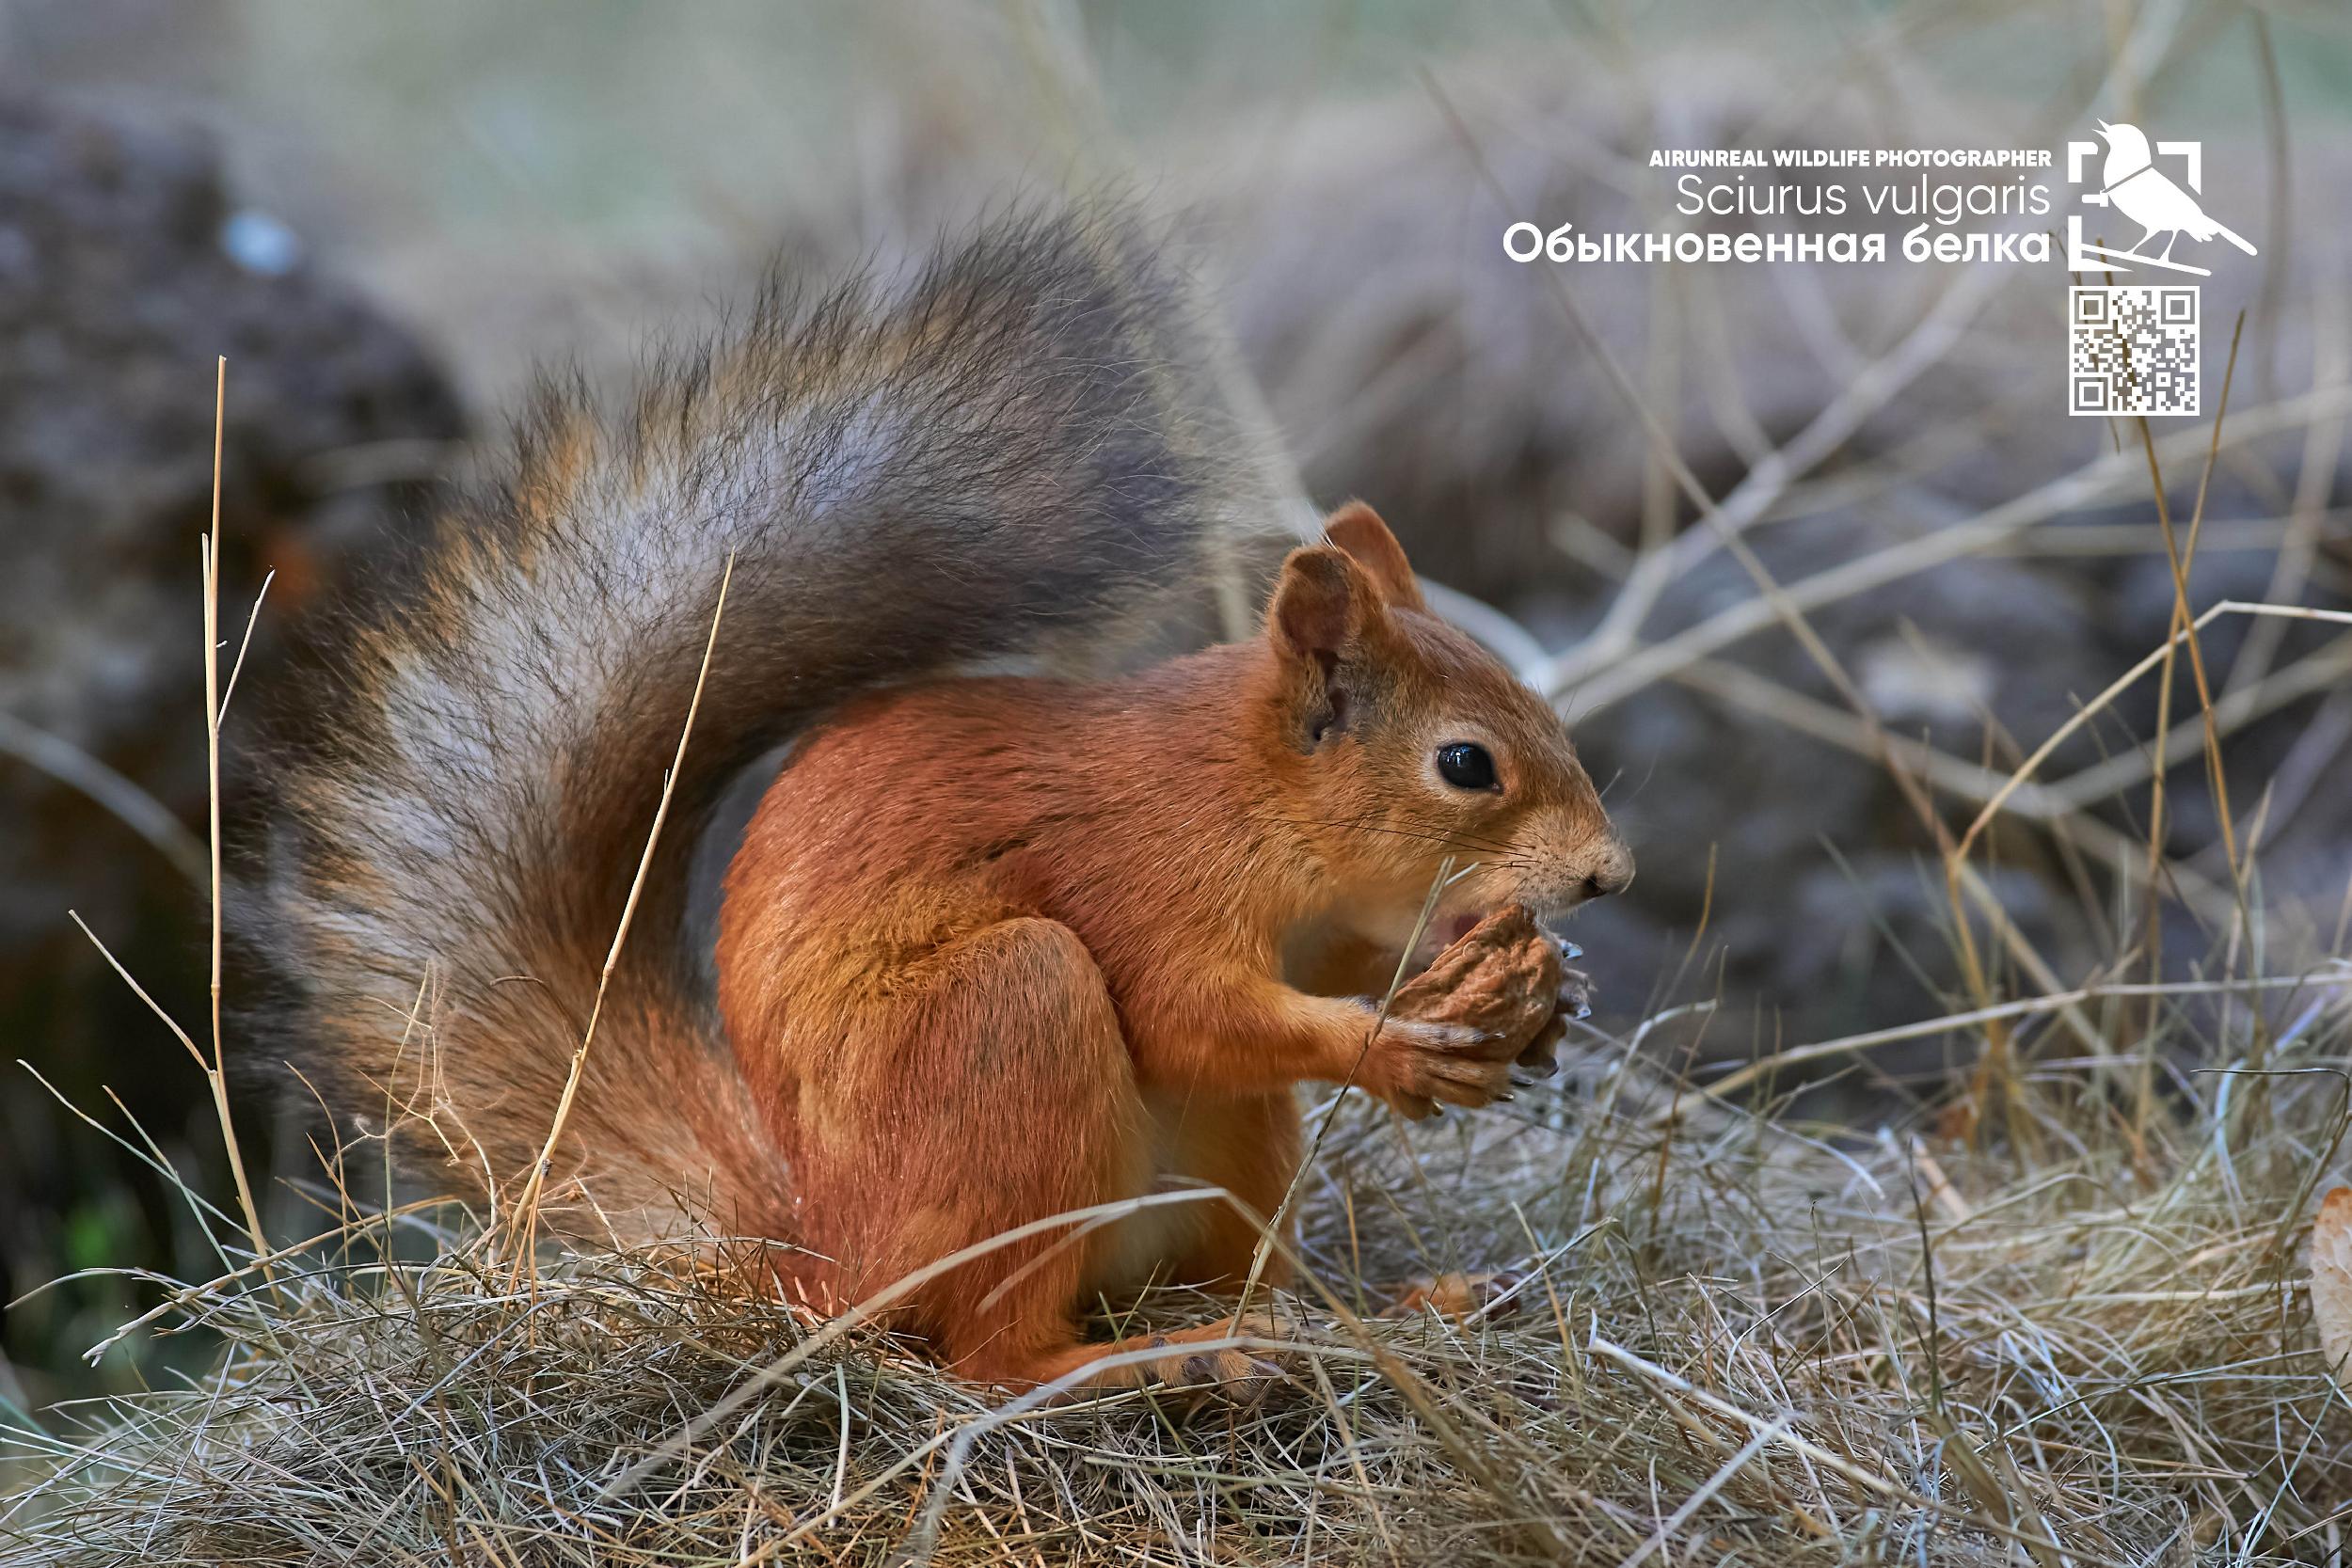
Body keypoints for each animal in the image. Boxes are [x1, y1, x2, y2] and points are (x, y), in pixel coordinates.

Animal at [242, 203, 1633, 1394]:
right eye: (1467, 762)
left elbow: (1341, 962)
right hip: (1009, 1020)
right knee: (990, 1349)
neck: (1254, 800)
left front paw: (1536, 982)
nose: (1608, 876)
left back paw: (1377, 1310)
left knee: (1219, 1273)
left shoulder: (1325, 918)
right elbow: (1190, 1011)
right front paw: (1393, 1042)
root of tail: (822, 1263)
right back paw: (1145, 1363)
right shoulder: (1145, 871)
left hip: (1227, 1153)